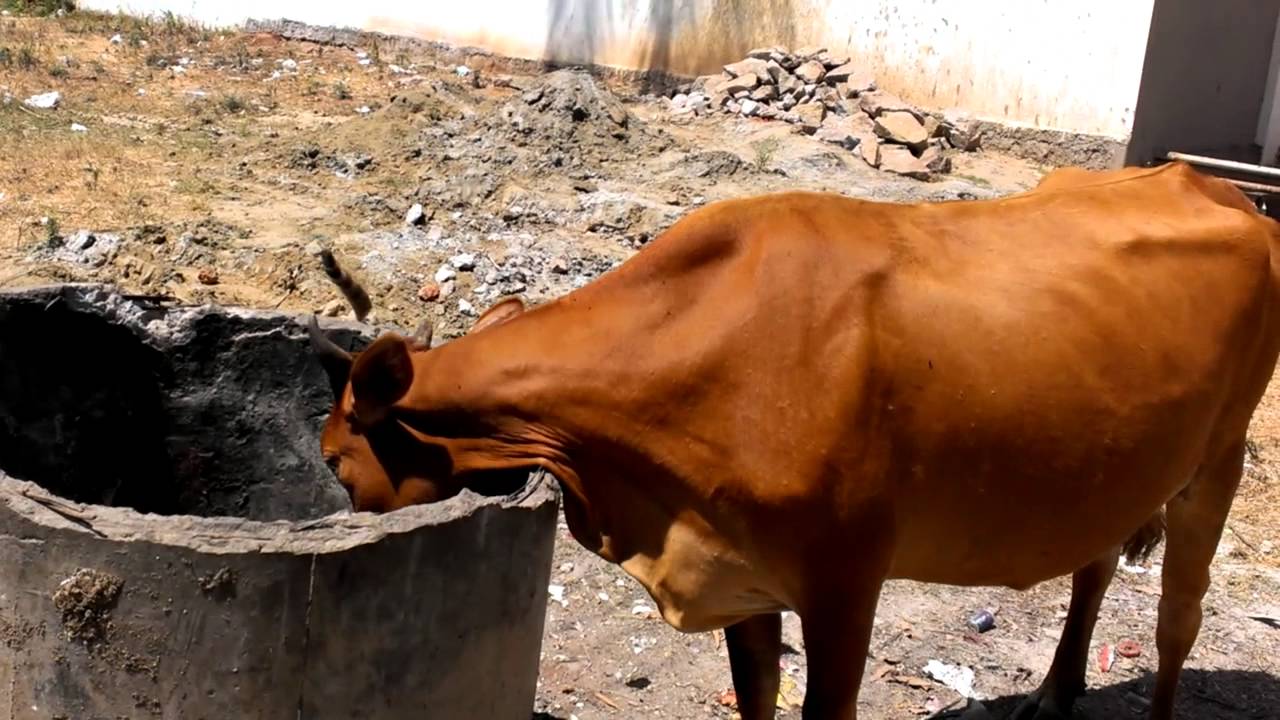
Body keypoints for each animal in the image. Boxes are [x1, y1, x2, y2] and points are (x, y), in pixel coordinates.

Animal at [305, 161, 1280, 719]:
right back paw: (1055, 689)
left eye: (333, 459)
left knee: (1178, 620)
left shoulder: (846, 580)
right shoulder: (738, 566)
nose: (335, 510)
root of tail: (1205, 179)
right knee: (1096, 562)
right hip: (1120, 461)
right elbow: (757, 698)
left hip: (1220, 457)